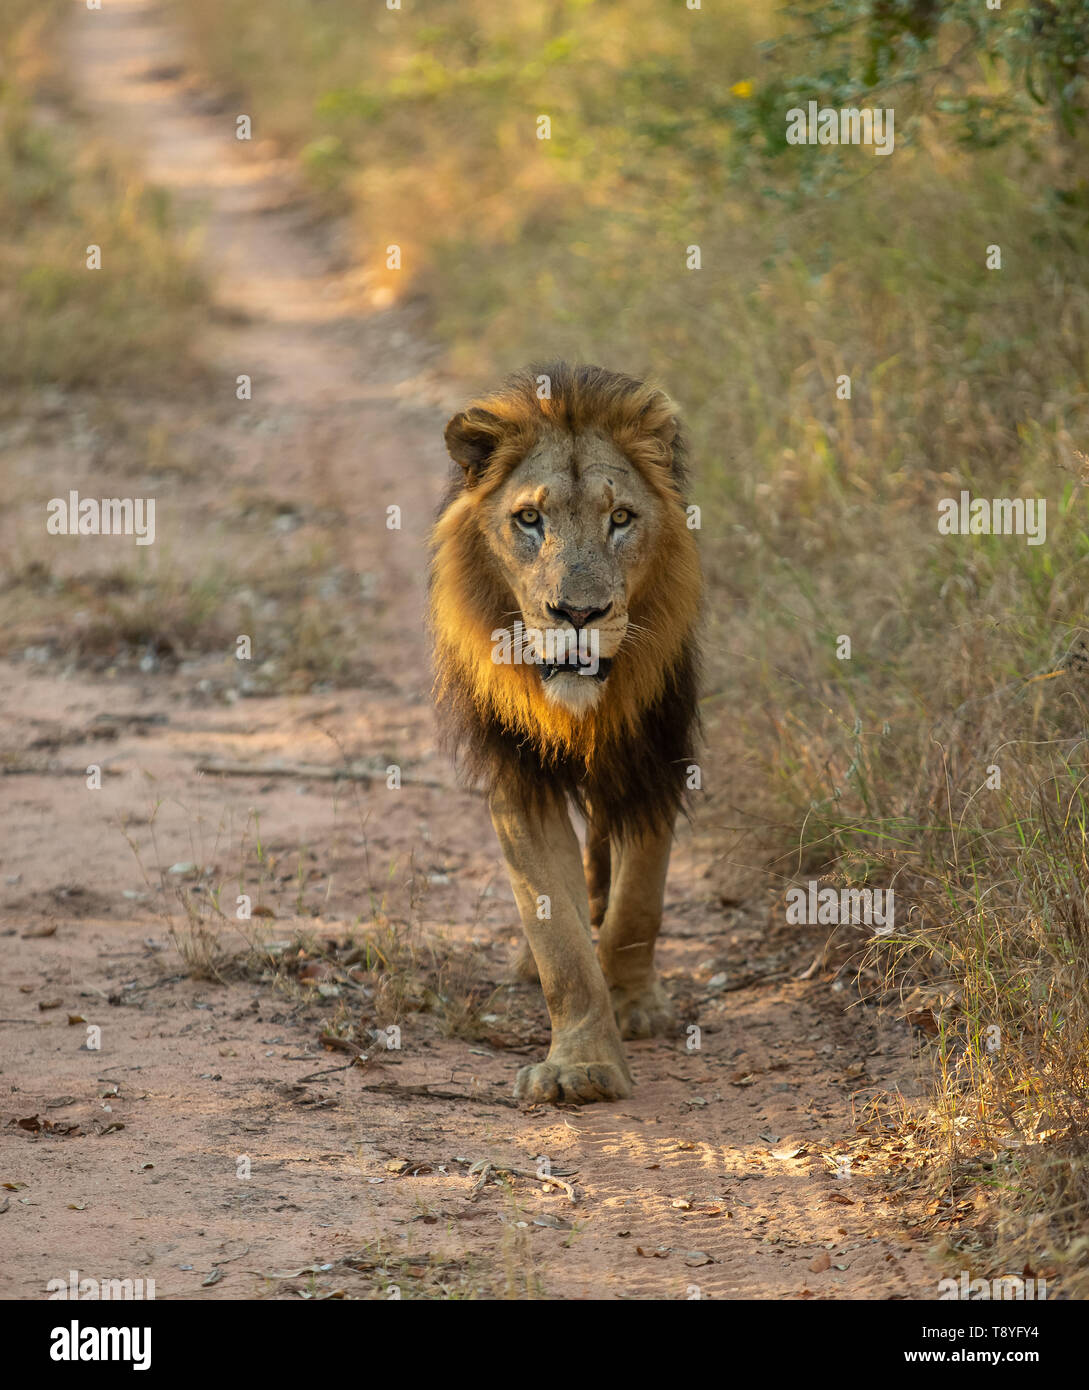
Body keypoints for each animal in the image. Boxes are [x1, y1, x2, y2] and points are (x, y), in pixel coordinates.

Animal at [429, 362, 701, 1104]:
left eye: (620, 519)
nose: (578, 613)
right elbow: (560, 944)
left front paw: (633, 1001)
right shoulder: (517, 777)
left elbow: (639, 901)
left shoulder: (654, 756)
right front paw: (582, 1064)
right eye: (530, 518)